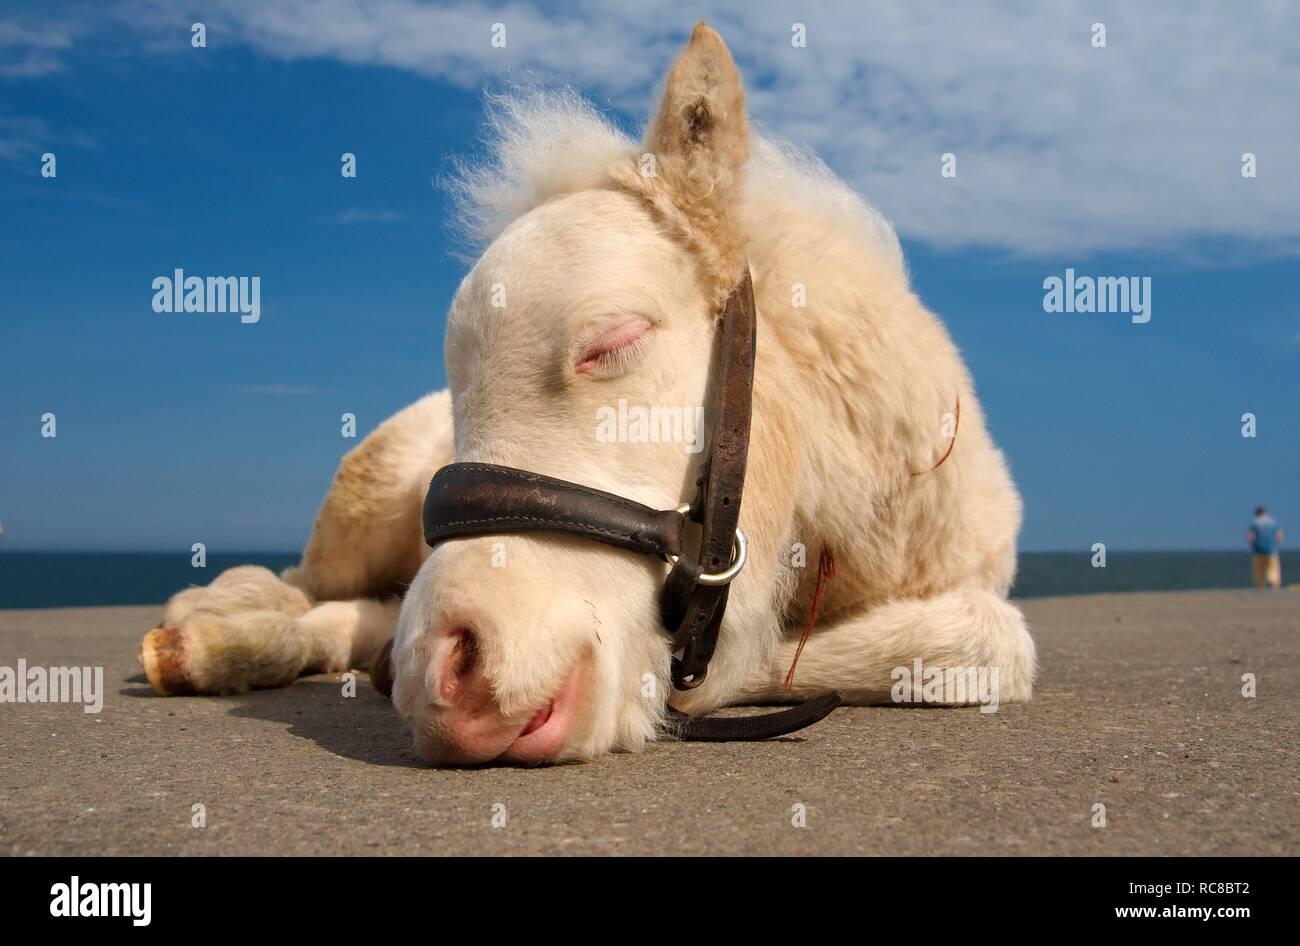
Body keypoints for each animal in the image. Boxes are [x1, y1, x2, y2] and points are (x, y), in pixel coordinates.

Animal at [138, 22, 1035, 765]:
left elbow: (990, 645)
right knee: (310, 584)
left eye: (612, 342)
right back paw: (212, 616)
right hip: (367, 490)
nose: (445, 674)